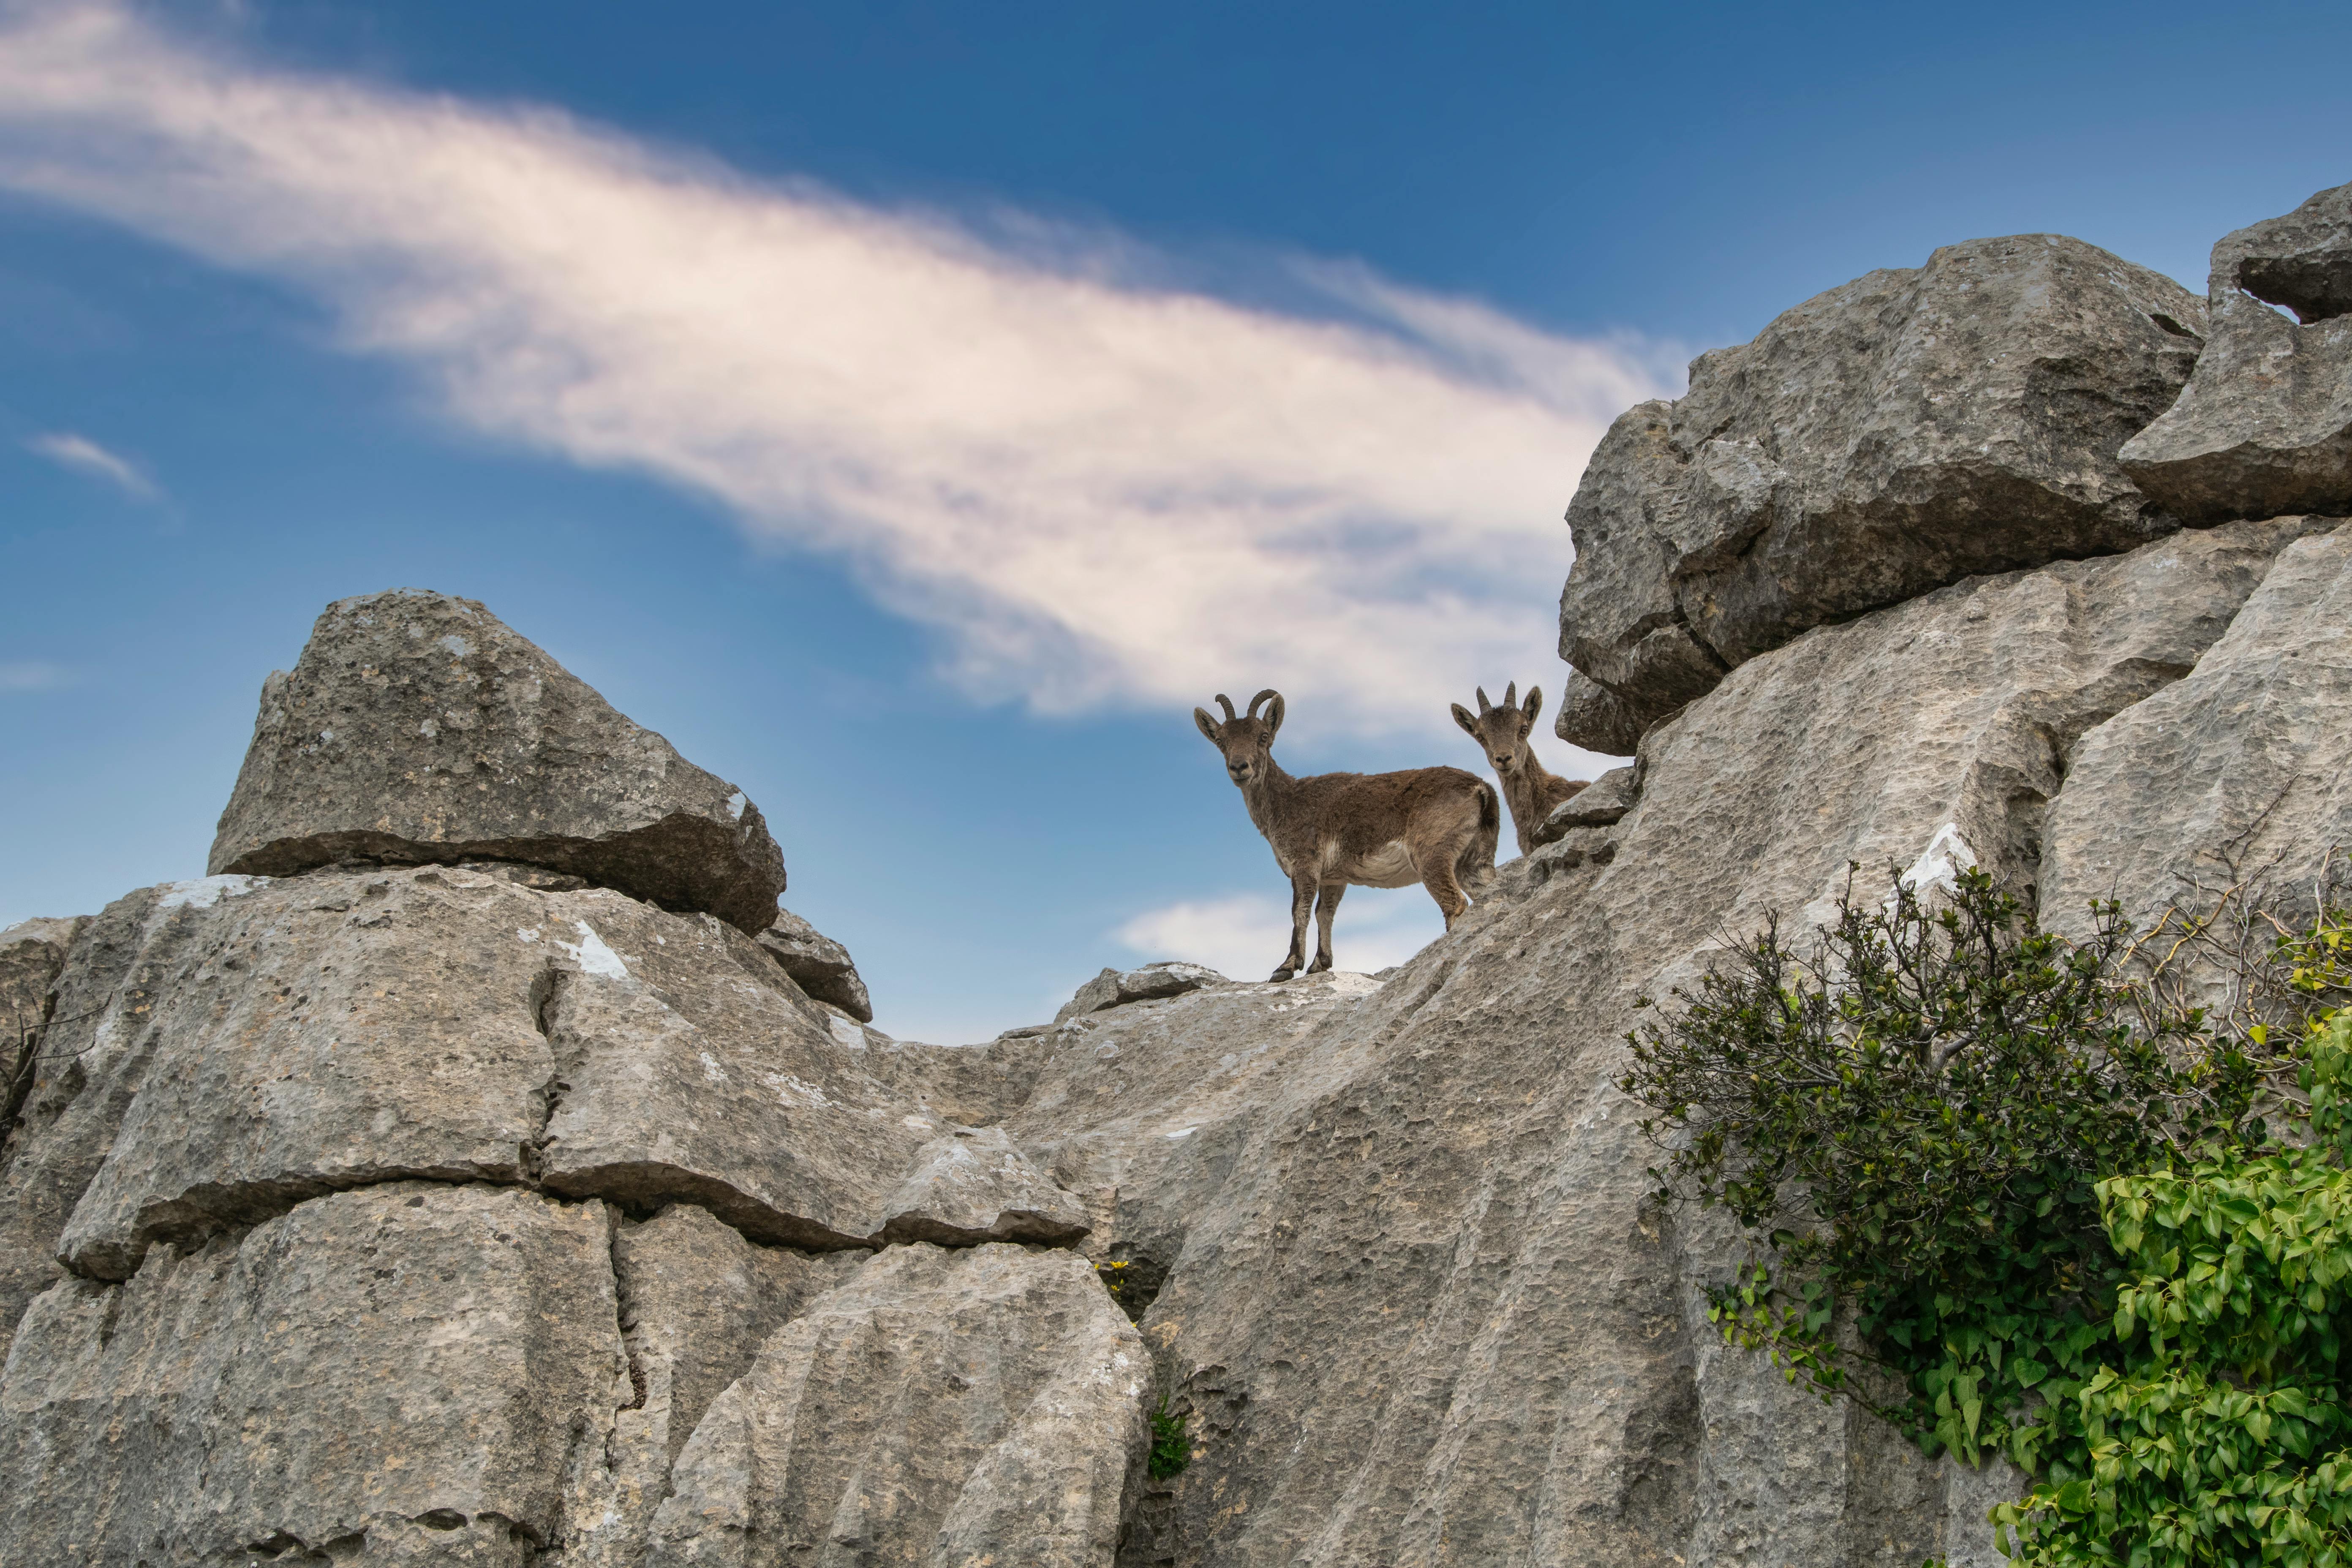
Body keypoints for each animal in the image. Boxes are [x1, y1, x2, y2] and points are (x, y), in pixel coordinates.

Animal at [1194, 689, 1499, 981]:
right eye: (1221, 741)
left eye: (1263, 736)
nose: (1239, 767)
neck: (1287, 802)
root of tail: (1481, 788)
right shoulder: (1334, 877)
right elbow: (1324, 912)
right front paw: (1320, 964)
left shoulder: (1305, 864)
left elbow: (1300, 911)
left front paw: (1287, 967)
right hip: (1474, 861)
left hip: (1432, 854)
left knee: (1455, 903)